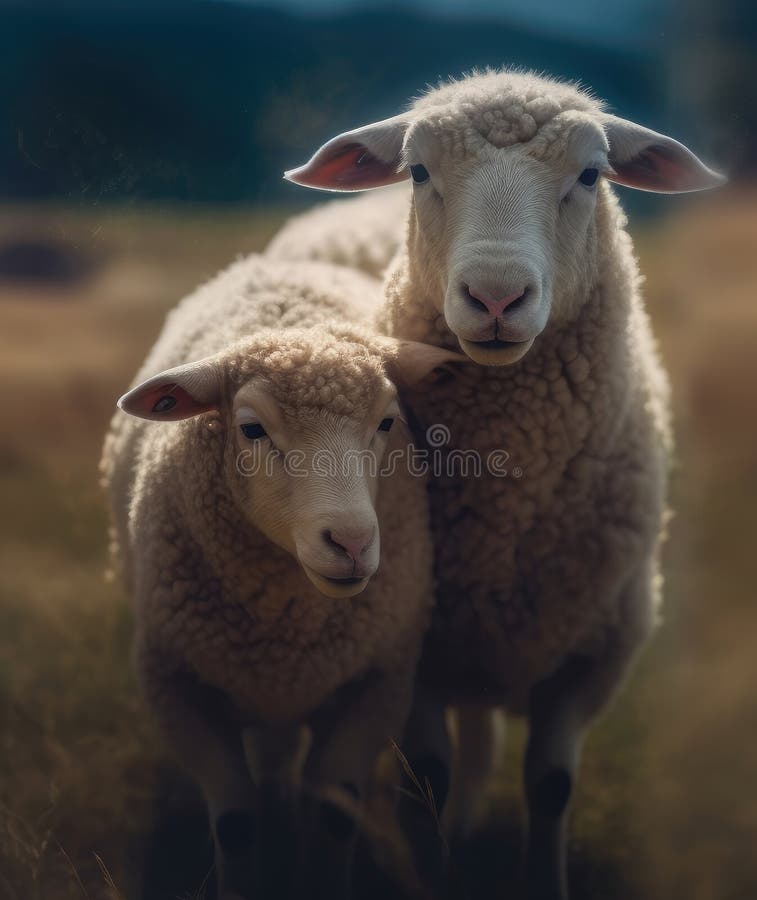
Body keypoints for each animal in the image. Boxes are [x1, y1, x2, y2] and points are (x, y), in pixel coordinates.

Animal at [100, 255, 463, 899]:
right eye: (251, 429)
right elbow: (237, 823)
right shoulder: (177, 689)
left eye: (387, 422)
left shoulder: (379, 685)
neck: (285, 622)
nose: (351, 543)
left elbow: (336, 816)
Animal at [284, 69, 725, 899]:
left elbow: (548, 787)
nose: (494, 298)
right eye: (417, 171)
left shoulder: (589, 656)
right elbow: (424, 779)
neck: (506, 498)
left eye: (590, 176)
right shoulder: (414, 648)